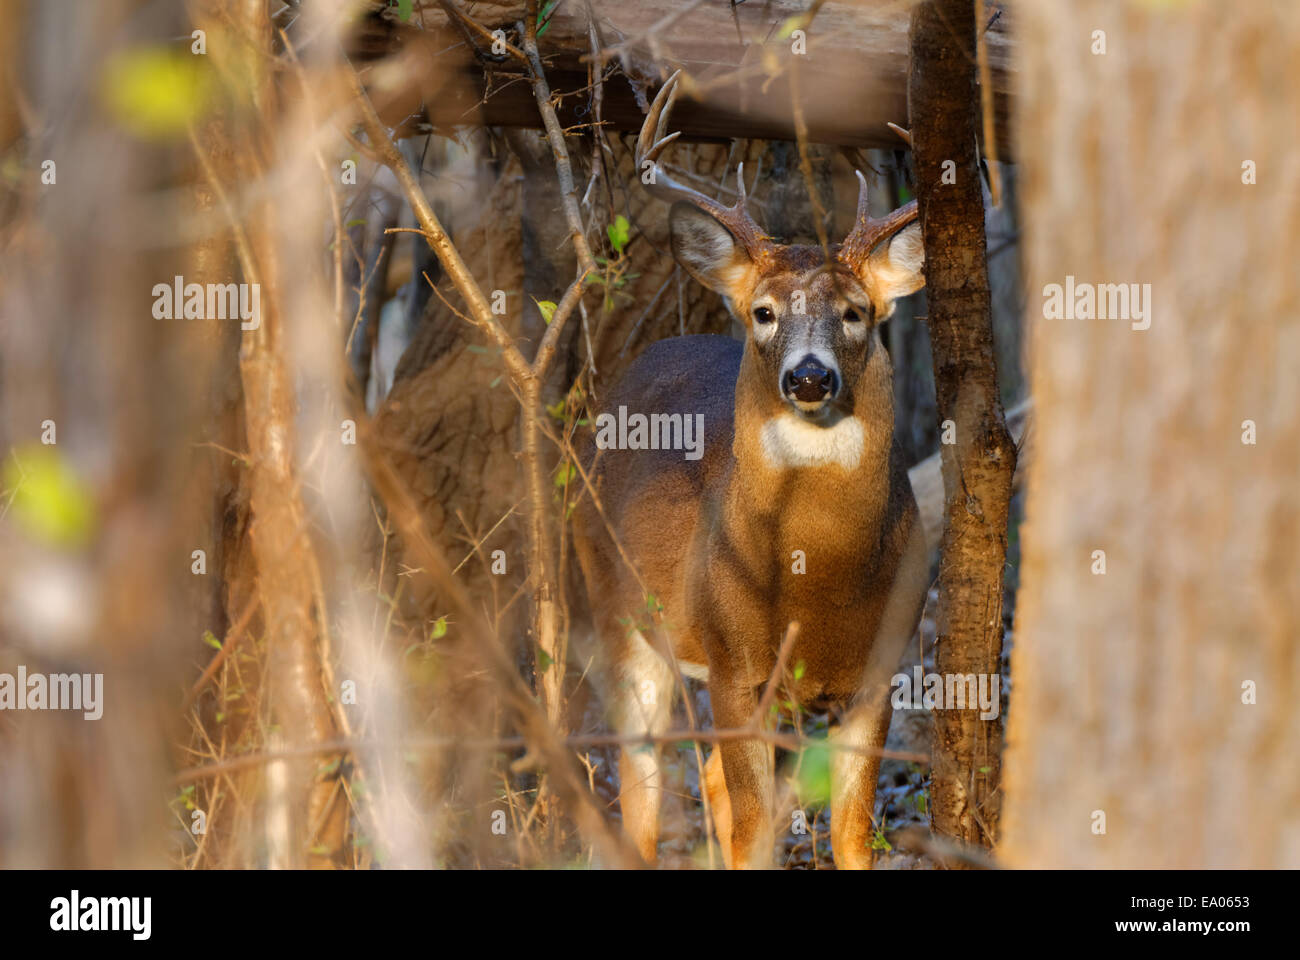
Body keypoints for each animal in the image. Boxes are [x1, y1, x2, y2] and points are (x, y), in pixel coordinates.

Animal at [571, 72, 930, 869]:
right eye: (763, 311)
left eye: (856, 312)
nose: (809, 377)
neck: (814, 580)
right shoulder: (735, 669)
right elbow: (750, 834)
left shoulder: (879, 673)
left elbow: (852, 836)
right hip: (623, 612)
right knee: (642, 792)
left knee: (705, 781)